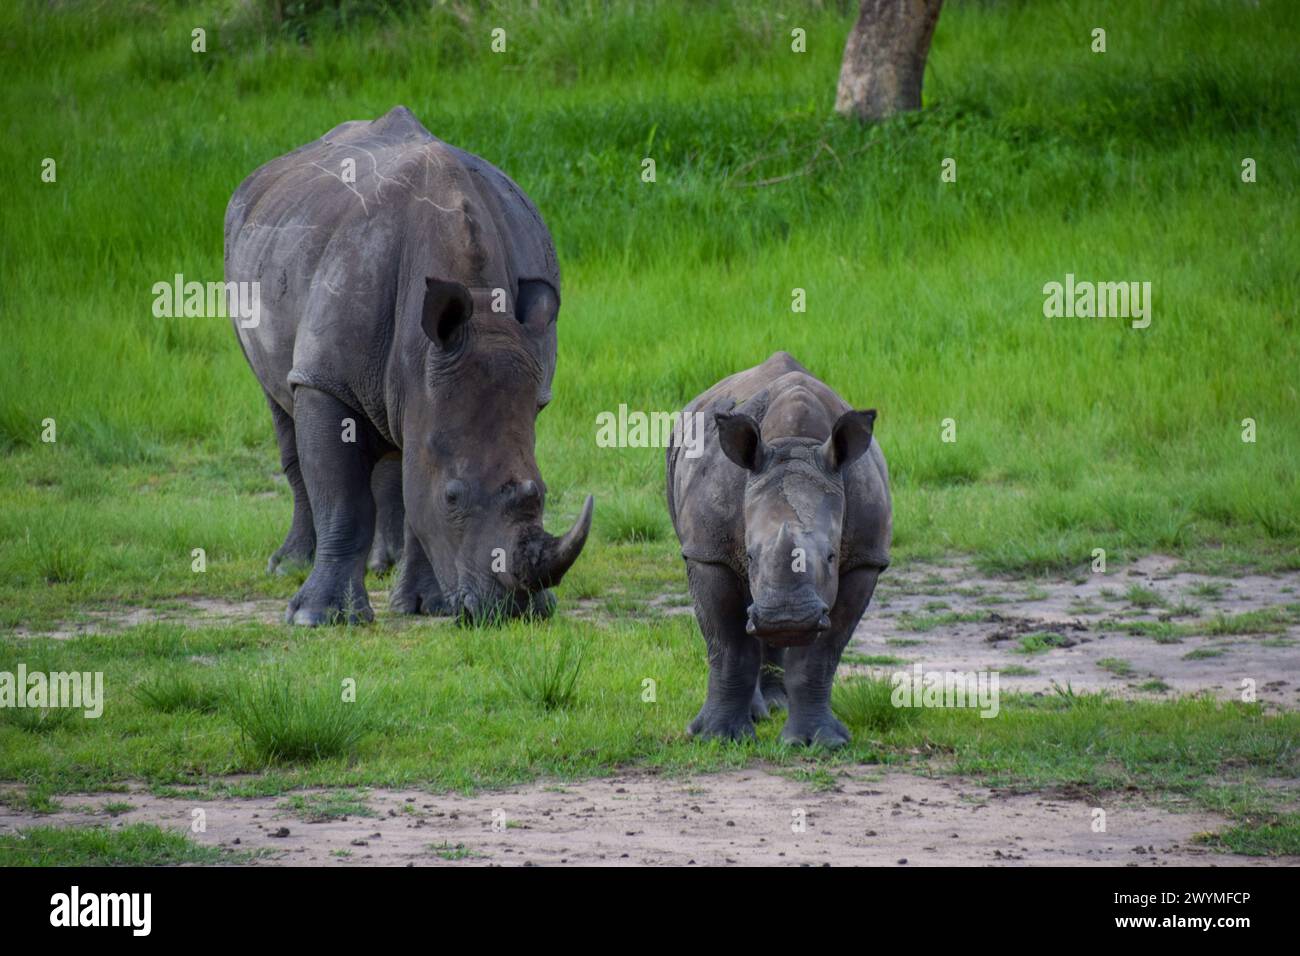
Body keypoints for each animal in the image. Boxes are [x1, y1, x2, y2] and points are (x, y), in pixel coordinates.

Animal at [225, 106, 593, 625]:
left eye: (540, 493)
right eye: (453, 497)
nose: (513, 611)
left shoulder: (446, 383)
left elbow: (419, 474)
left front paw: (425, 606)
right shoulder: (326, 380)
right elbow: (344, 499)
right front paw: (317, 618)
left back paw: (384, 565)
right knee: (279, 402)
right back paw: (289, 567)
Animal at [666, 352, 891, 746]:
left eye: (832, 556)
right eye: (750, 556)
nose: (787, 618)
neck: (795, 440)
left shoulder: (865, 558)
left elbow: (820, 656)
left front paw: (822, 742)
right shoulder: (708, 553)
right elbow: (728, 647)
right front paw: (717, 738)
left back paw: (777, 705)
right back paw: (759, 713)